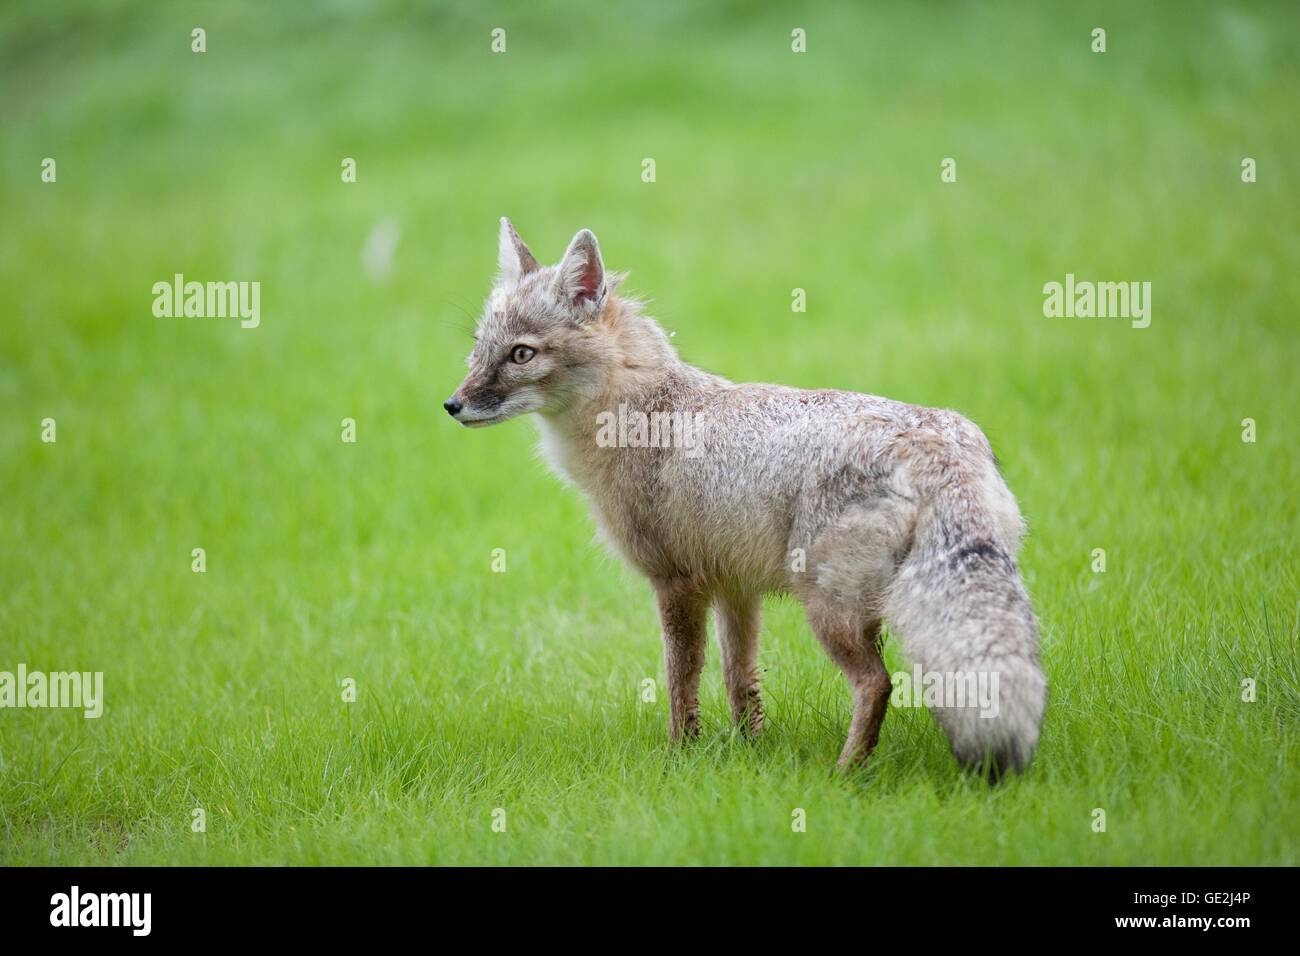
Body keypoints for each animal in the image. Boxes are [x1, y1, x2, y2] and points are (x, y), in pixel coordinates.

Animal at [446, 218, 1048, 776]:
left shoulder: (676, 582)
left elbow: (681, 681)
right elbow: (740, 680)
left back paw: (845, 775)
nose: (451, 406)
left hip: (829, 610)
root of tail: (937, 441)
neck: (643, 413)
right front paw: (751, 752)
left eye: (521, 355)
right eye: (478, 350)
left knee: (877, 684)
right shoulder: (735, 589)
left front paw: (680, 756)